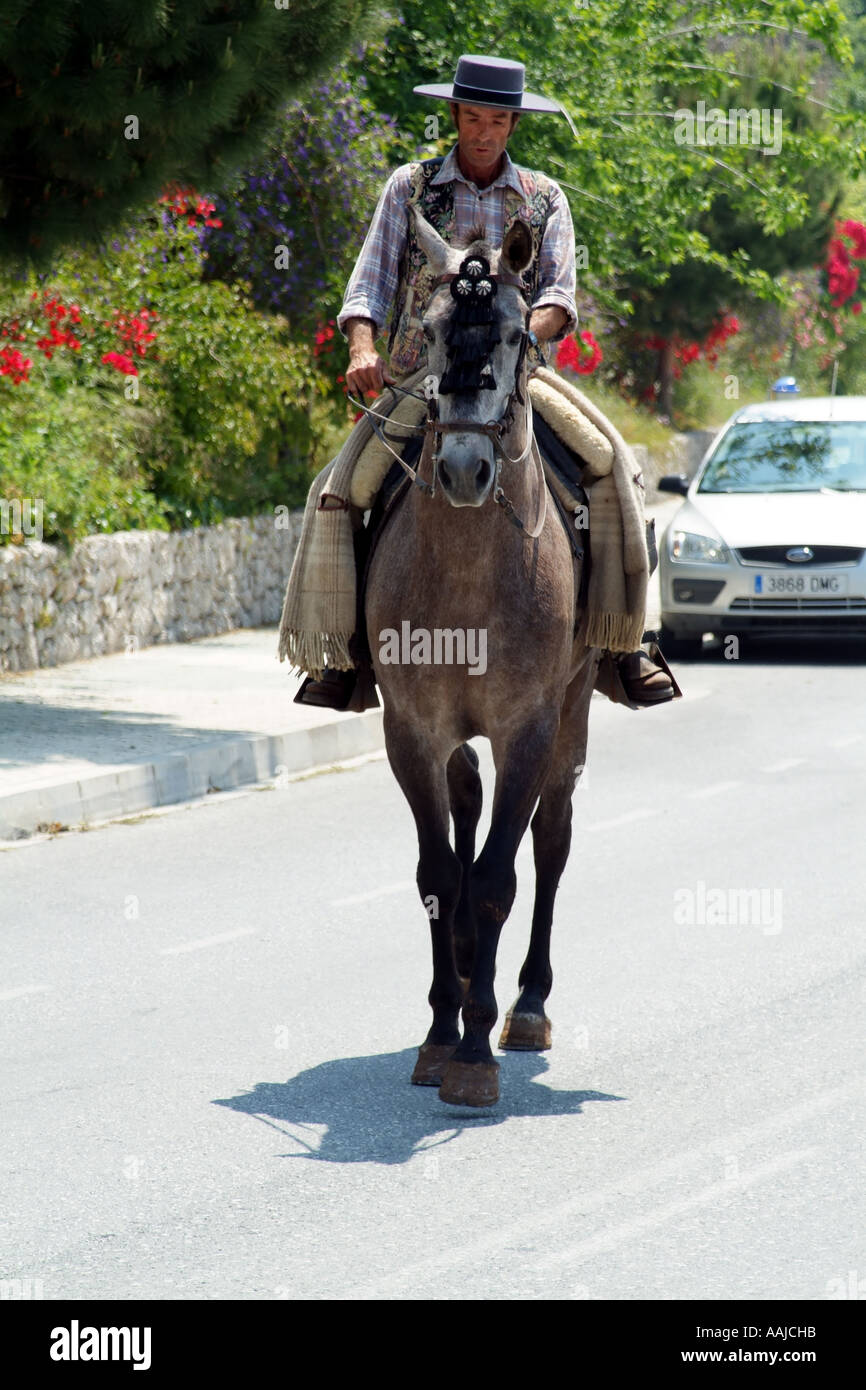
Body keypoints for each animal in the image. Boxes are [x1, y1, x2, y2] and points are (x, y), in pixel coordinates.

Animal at [364, 206, 600, 1107]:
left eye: (513, 333)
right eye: (429, 331)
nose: (466, 466)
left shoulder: (528, 727)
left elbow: (500, 876)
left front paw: (474, 1054)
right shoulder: (412, 730)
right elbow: (439, 876)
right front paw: (441, 1034)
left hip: (573, 712)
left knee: (552, 839)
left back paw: (524, 1004)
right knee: (467, 812)